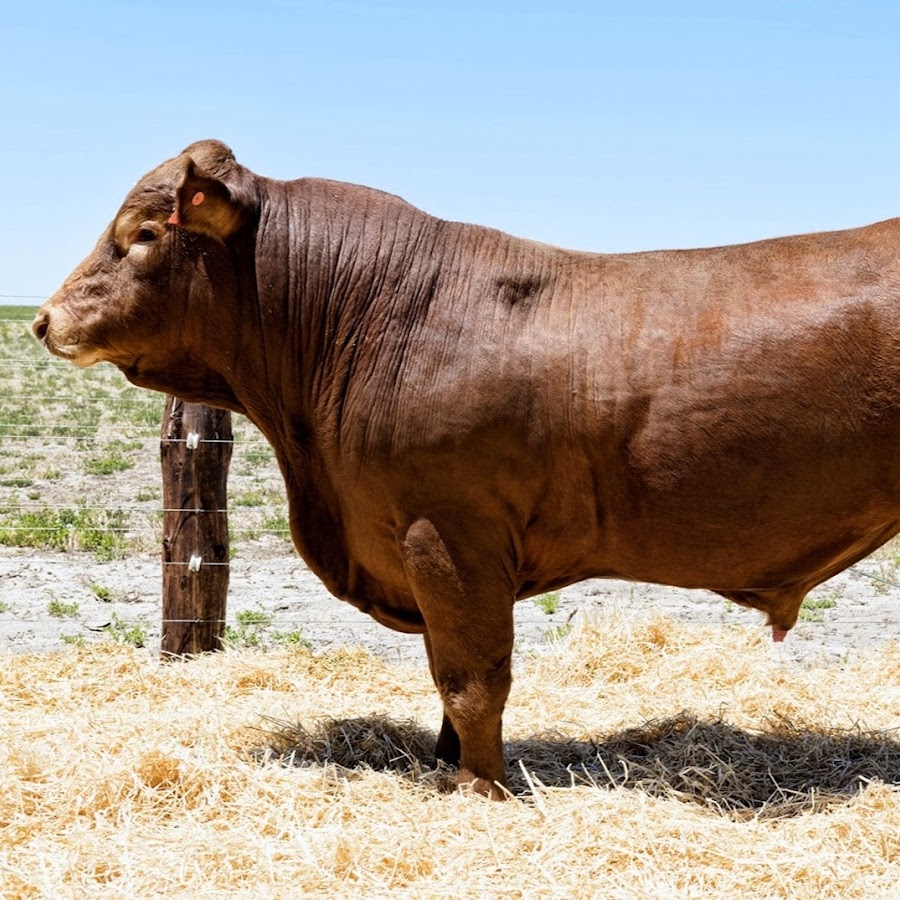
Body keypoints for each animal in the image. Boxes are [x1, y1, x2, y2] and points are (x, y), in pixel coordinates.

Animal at [33, 139, 900, 798]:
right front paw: (444, 765)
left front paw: (479, 788)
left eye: (146, 231)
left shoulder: (450, 534)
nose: (44, 319)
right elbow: (442, 672)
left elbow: (472, 678)